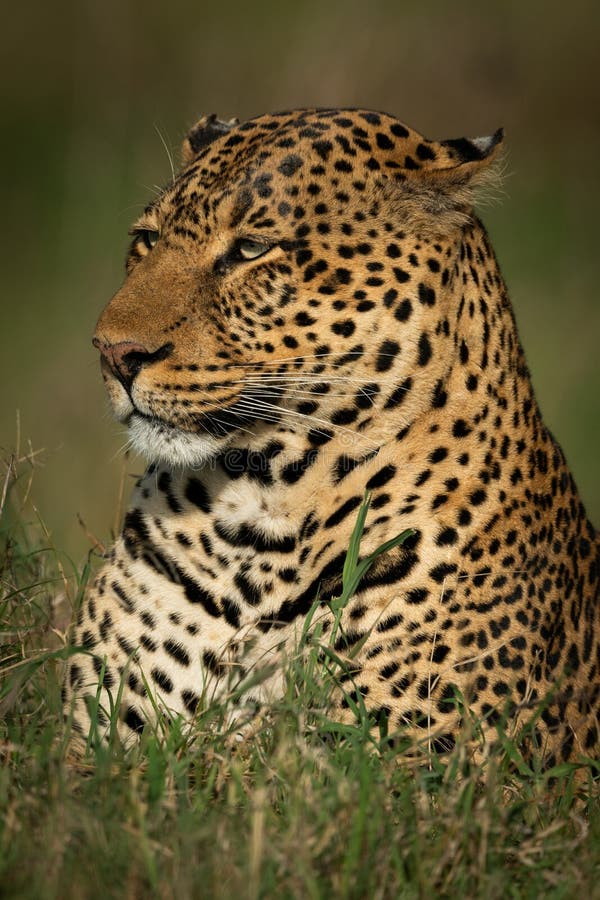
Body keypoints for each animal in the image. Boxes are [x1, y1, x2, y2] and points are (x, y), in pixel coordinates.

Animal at [64, 108, 600, 766]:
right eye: (145, 240)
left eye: (250, 249)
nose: (113, 352)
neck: (256, 516)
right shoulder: (93, 745)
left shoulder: (400, 762)